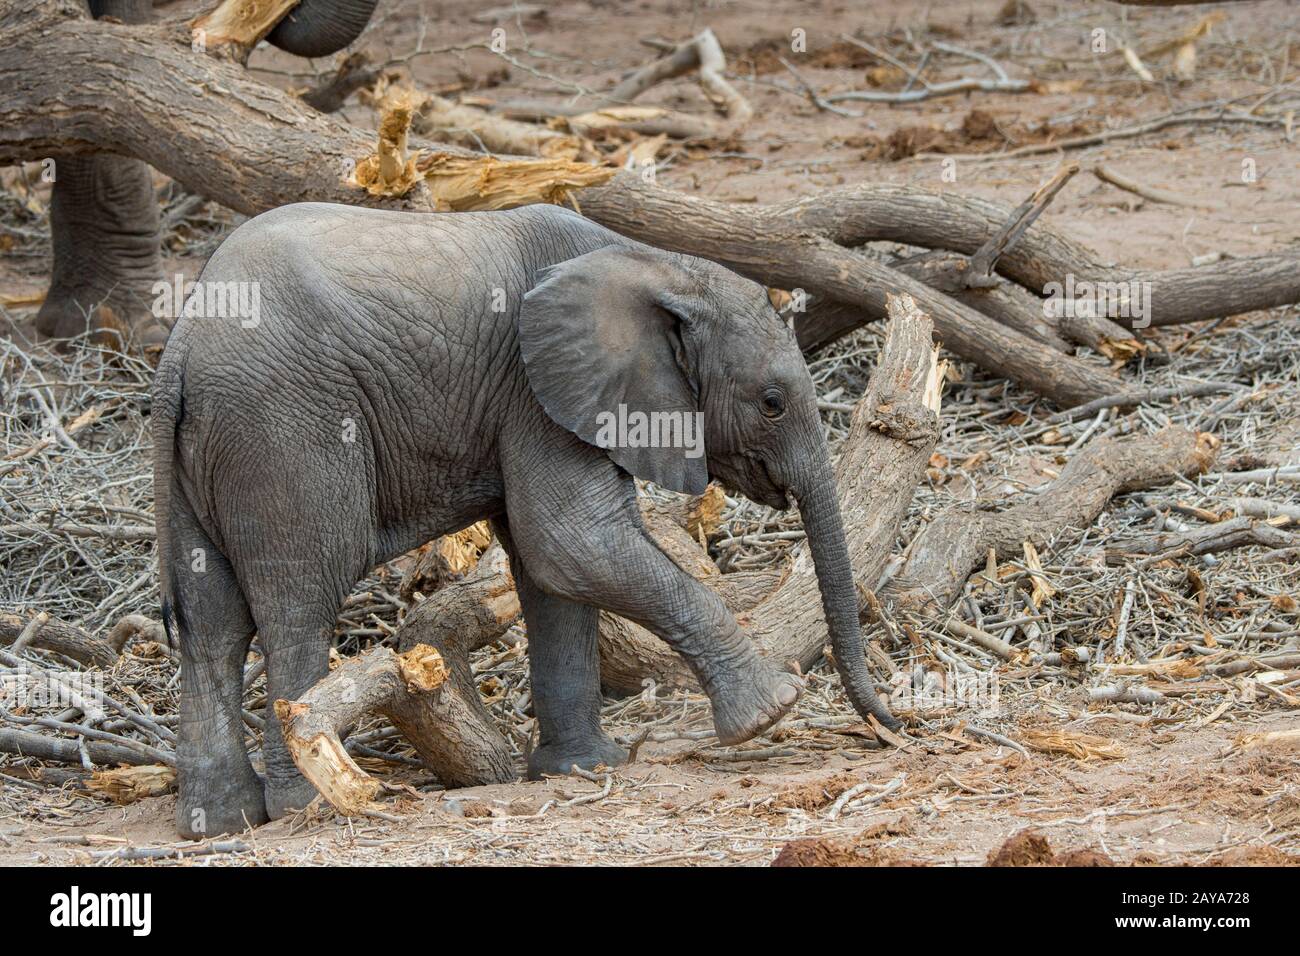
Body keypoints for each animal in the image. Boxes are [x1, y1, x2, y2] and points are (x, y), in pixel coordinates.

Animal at [153, 200, 899, 839]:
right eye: (771, 402)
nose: (889, 729)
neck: (660, 266)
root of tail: (178, 354)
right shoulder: (535, 392)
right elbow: (572, 545)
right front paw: (774, 708)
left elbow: (551, 574)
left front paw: (586, 767)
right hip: (283, 433)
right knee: (297, 608)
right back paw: (302, 806)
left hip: (212, 454)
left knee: (211, 626)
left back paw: (219, 821)